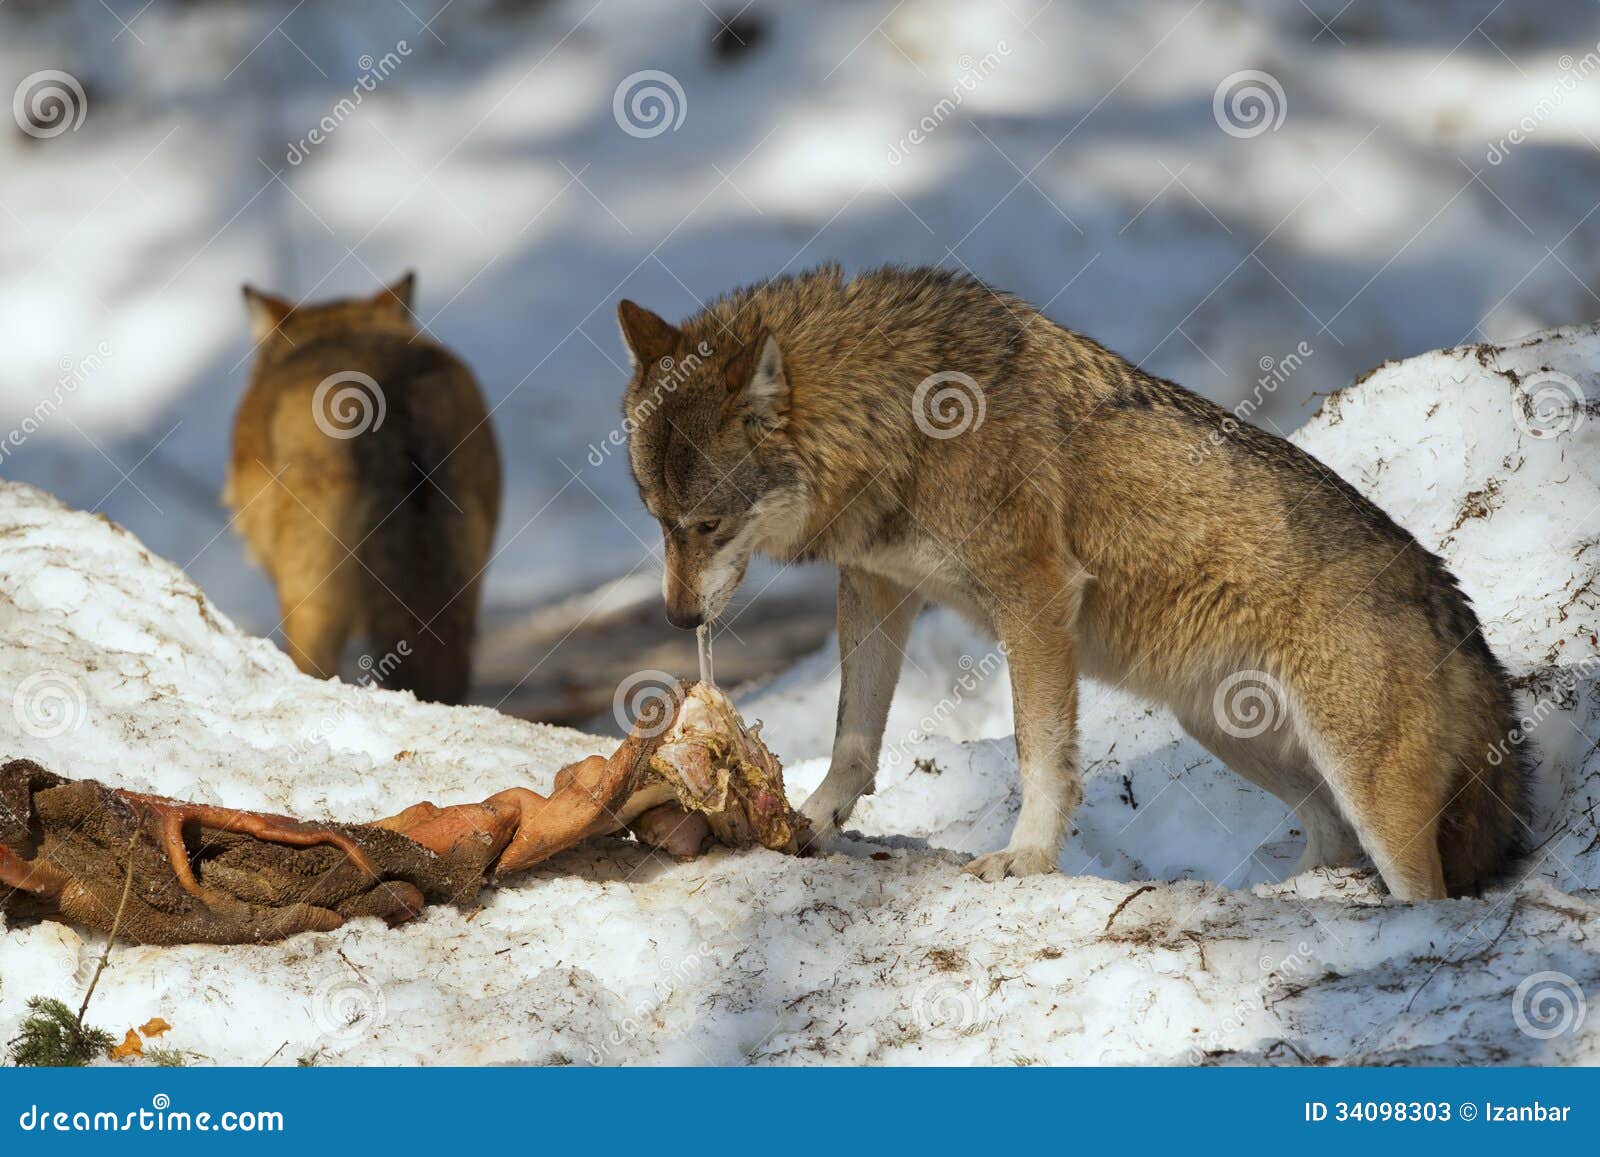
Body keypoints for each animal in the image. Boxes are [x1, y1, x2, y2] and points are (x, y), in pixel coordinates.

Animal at [615, 264, 1532, 900]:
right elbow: (853, 736)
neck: (900, 423)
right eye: (655, 517)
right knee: (1332, 841)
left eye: (707, 525)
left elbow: (1039, 754)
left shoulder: (1037, 600)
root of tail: (1452, 602)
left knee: (1425, 892)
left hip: (1360, 784)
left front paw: (1025, 858)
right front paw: (808, 822)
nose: (677, 617)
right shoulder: (876, 587)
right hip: (1229, 731)